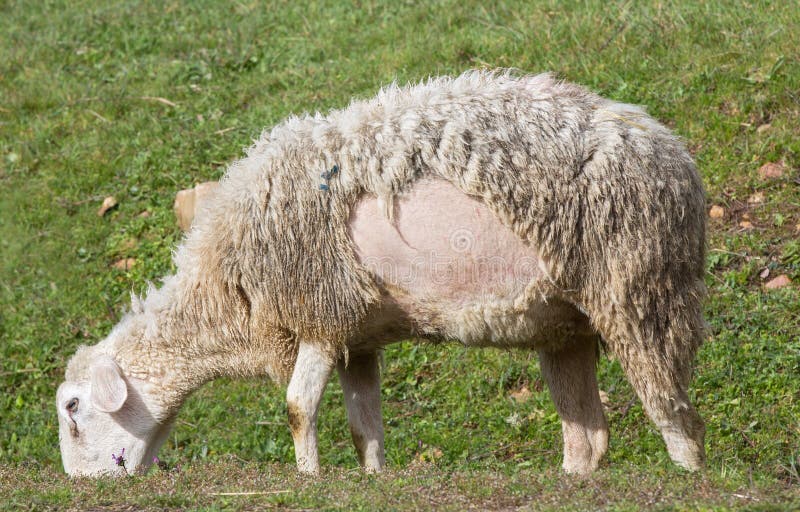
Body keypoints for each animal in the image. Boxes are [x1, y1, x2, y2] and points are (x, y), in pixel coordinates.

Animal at [56, 70, 707, 477]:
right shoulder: (357, 334)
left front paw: (309, 479)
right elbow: (362, 425)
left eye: (72, 409)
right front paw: (372, 478)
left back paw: (689, 475)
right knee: (588, 437)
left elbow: (296, 407)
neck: (224, 292)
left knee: (673, 411)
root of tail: (673, 152)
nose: (83, 487)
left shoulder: (319, 309)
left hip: (635, 288)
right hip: (565, 321)